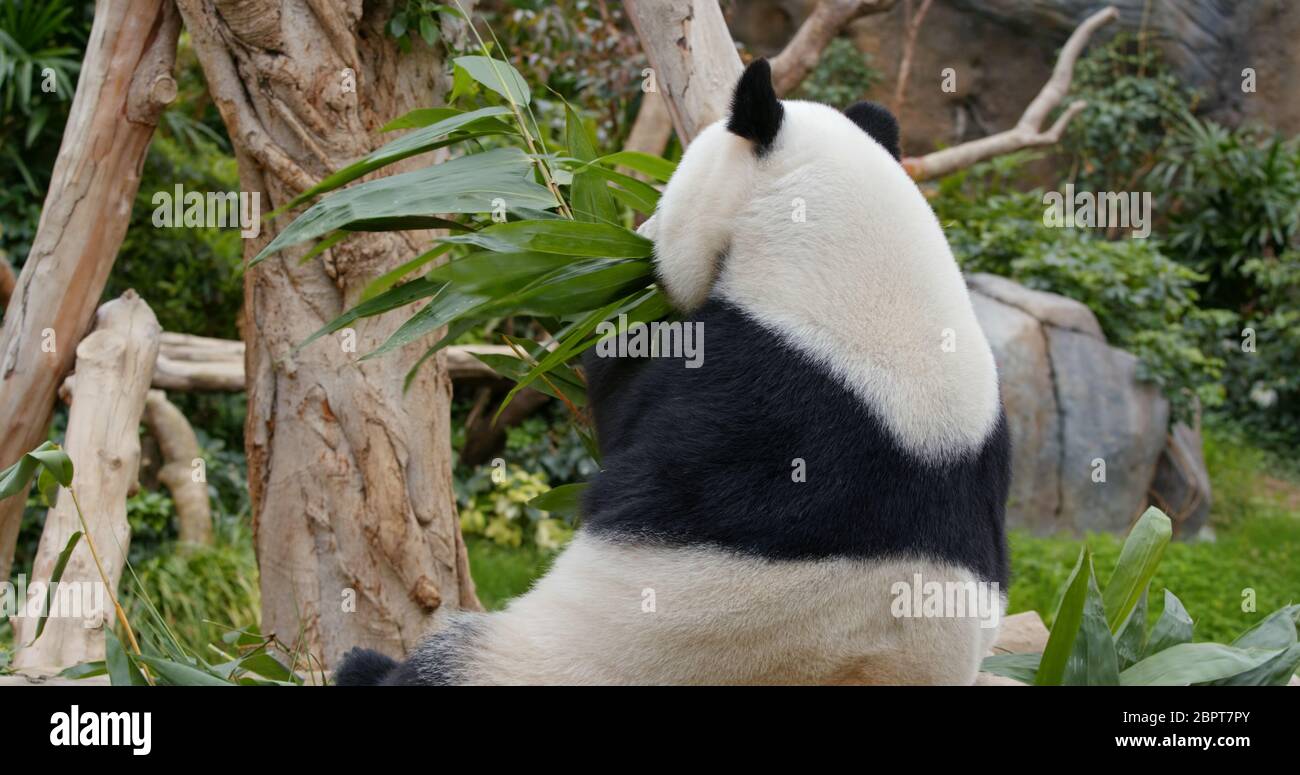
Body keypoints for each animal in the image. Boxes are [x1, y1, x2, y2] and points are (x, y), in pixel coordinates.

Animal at [336, 58, 1011, 686]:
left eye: (665, 198)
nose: (640, 237)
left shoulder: (749, 391)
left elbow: (622, 393)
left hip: (549, 660)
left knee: (442, 665)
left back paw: (364, 664)